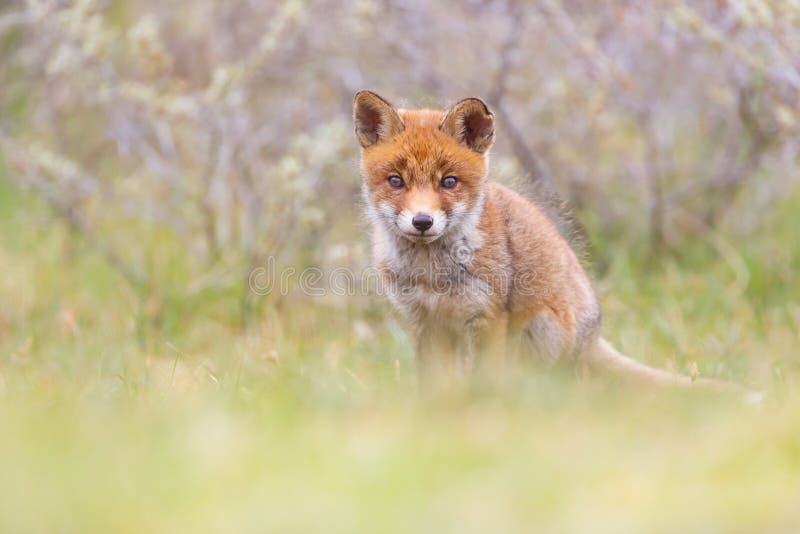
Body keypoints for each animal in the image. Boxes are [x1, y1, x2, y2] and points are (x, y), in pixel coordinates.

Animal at [353, 90, 762, 401]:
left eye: (449, 182)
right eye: (396, 181)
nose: (422, 222)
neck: (431, 274)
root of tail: (593, 333)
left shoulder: (488, 318)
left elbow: (484, 383)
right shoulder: (427, 322)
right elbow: (434, 386)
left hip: (539, 327)